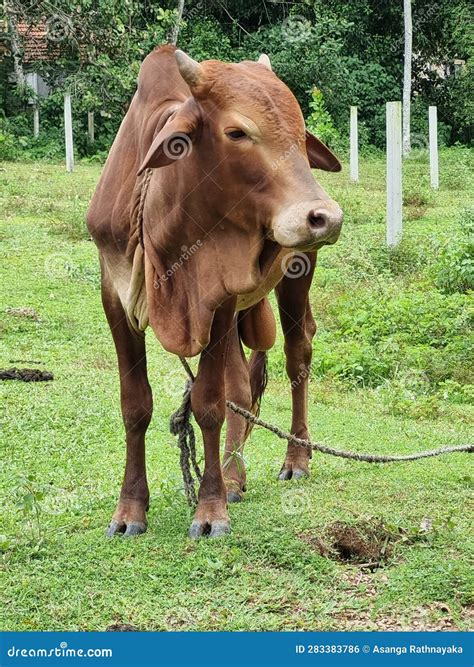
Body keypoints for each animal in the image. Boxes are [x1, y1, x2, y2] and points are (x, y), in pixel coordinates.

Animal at [87, 45, 343, 539]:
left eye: (300, 135)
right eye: (237, 132)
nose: (325, 217)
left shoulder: (218, 299)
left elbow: (209, 403)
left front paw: (209, 511)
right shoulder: (115, 298)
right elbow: (135, 405)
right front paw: (129, 511)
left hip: (297, 274)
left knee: (296, 355)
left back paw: (294, 458)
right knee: (244, 386)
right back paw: (234, 477)